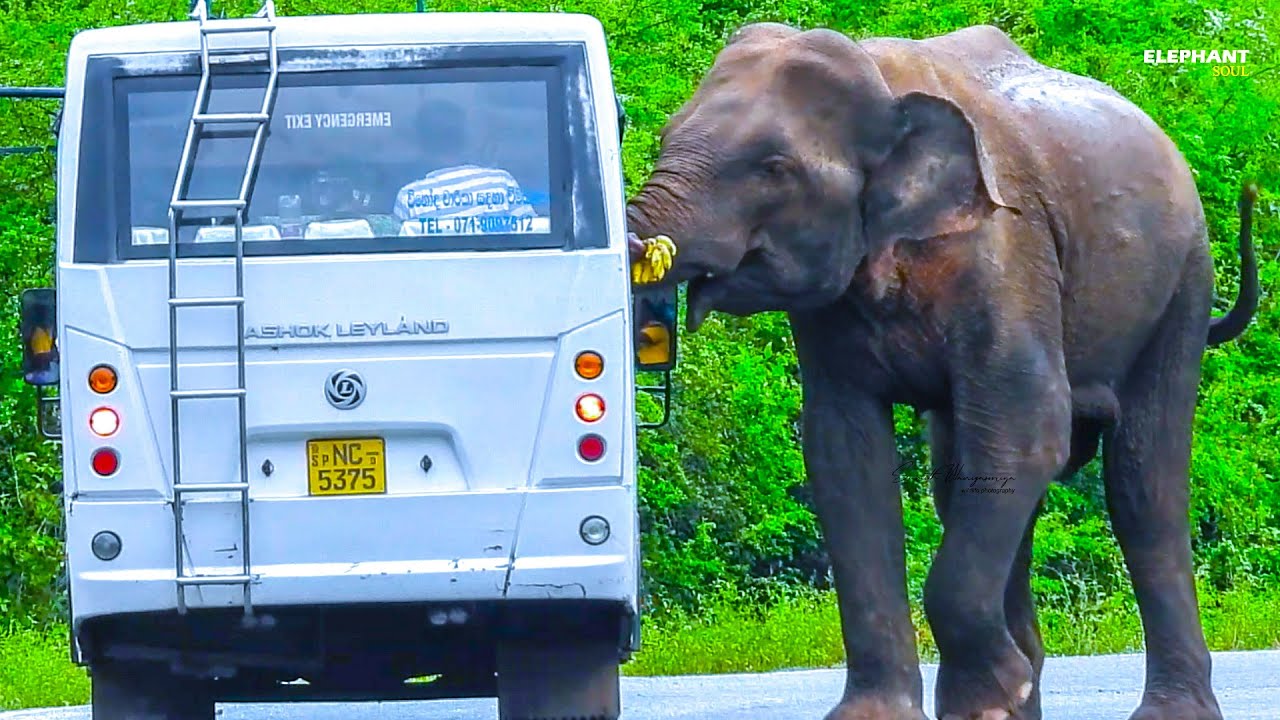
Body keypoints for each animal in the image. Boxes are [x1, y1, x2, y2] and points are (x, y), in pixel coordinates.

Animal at [624, 22, 1260, 720]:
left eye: (774, 168)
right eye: (666, 136)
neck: (881, 80)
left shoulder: (1004, 250)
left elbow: (1029, 426)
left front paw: (993, 695)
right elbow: (844, 454)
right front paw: (885, 715)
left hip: (1183, 283)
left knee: (1142, 484)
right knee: (971, 479)